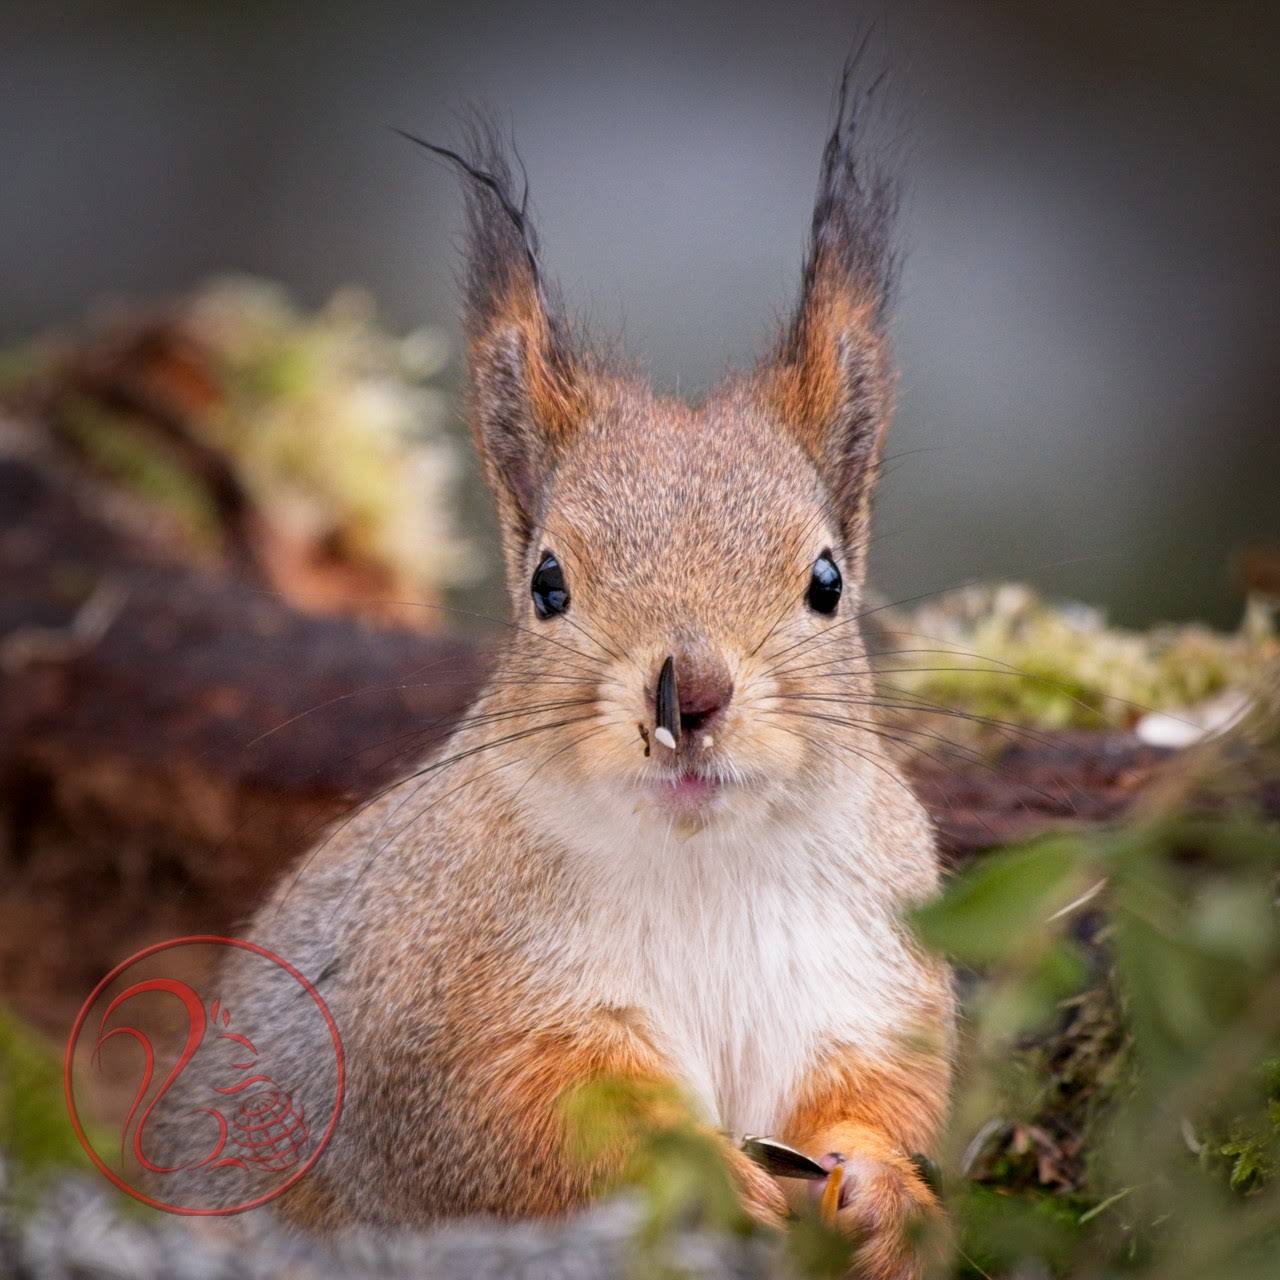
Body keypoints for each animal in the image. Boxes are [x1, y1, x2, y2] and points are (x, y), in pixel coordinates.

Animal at [151, 69, 955, 1280]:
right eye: (546, 583)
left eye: (825, 579)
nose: (687, 696)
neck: (701, 866)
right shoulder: (439, 1019)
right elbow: (533, 1120)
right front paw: (699, 1173)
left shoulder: (867, 985)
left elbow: (884, 1097)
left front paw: (889, 1195)